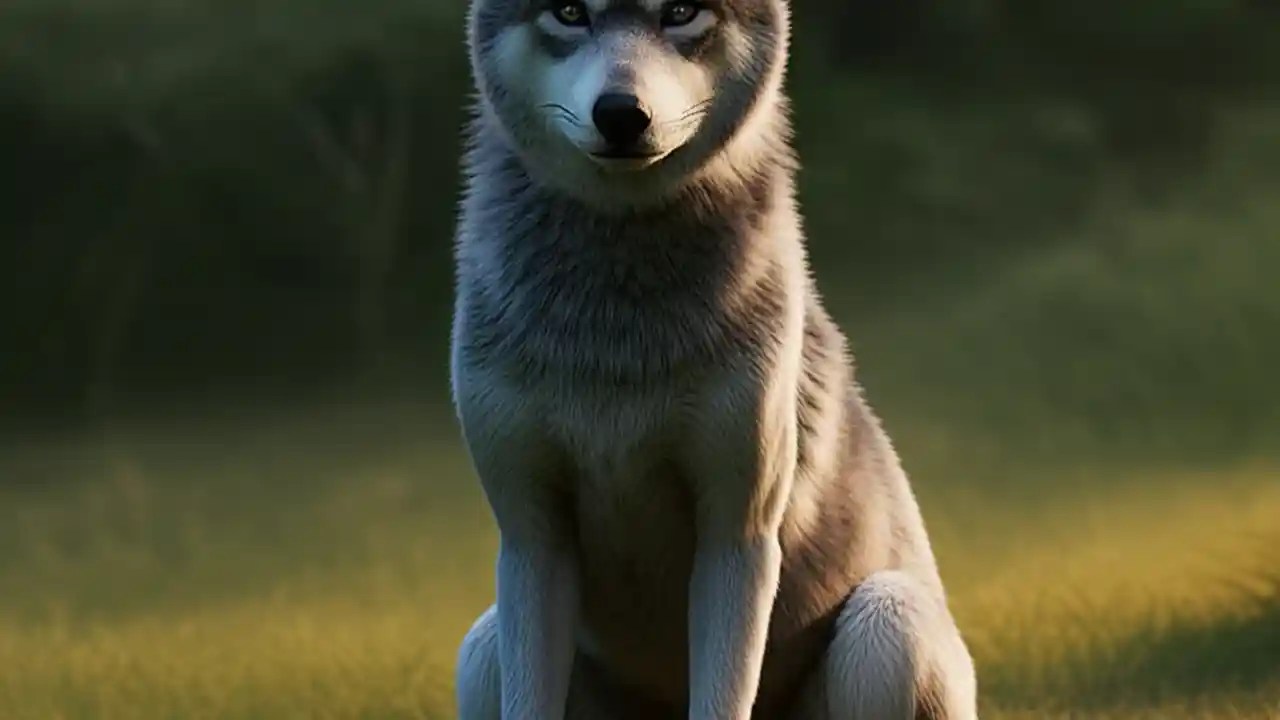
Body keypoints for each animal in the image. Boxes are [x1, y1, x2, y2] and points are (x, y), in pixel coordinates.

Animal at [450, 0, 978, 718]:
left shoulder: (739, 531)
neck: (618, 335)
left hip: (886, 627)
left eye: (679, 14)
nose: (622, 113)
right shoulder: (532, 534)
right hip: (482, 652)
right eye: (569, 13)